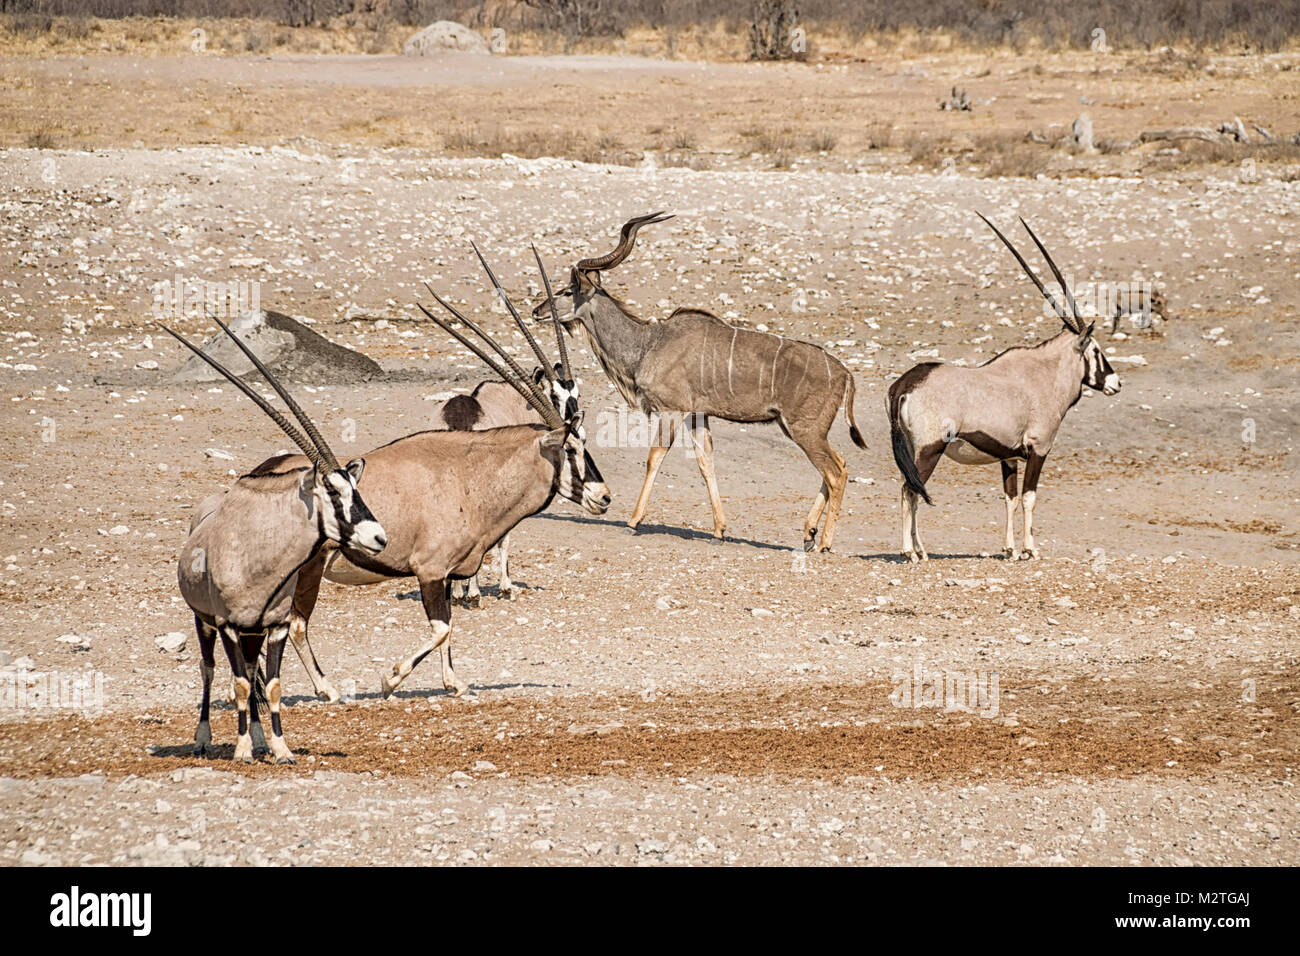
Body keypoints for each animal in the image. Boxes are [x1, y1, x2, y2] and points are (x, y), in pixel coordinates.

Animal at [162, 318, 387, 763]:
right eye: (332, 491)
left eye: (355, 487)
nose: (378, 537)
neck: (258, 554)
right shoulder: (229, 626)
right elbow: (240, 685)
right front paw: (242, 749)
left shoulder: (276, 626)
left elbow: (272, 684)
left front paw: (280, 748)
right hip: (205, 622)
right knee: (211, 670)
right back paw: (206, 737)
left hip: (254, 634)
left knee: (252, 672)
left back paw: (261, 737)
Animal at [284, 246, 610, 702]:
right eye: (569, 447)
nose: (604, 496)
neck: (470, 474)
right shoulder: (430, 571)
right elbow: (441, 628)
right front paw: (390, 679)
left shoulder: (448, 570)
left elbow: (449, 626)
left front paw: (453, 682)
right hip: (308, 572)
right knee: (296, 625)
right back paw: (326, 689)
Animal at [533, 212, 867, 552]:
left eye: (567, 291)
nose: (536, 311)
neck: (648, 344)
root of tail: (845, 373)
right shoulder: (697, 416)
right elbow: (706, 463)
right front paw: (719, 530)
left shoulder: (671, 411)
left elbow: (654, 458)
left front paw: (632, 521)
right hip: (799, 430)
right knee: (837, 466)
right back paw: (808, 534)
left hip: (805, 431)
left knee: (836, 472)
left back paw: (824, 542)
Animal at [887, 213, 1121, 563]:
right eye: (1095, 350)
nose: (1116, 383)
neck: (1044, 374)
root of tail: (906, 383)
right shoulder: (1038, 448)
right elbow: (1029, 497)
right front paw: (1030, 549)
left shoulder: (1008, 456)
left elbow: (1009, 497)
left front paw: (1009, 549)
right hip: (930, 448)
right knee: (909, 491)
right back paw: (912, 552)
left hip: (914, 449)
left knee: (911, 488)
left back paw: (921, 550)